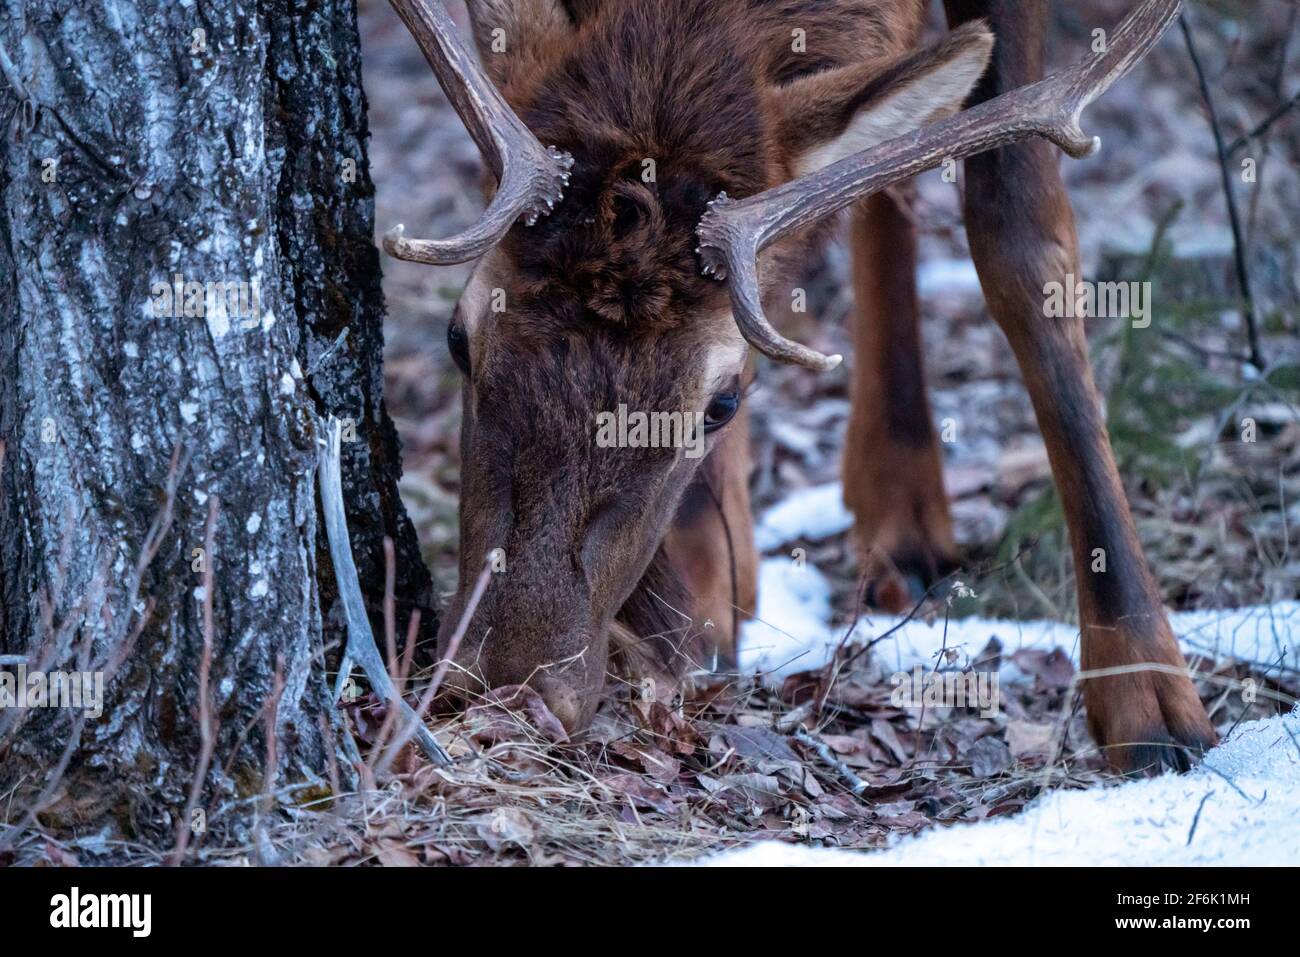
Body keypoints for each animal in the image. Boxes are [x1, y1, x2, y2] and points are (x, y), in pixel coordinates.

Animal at [381, 0, 1217, 774]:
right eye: (458, 339)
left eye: (720, 403)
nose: (508, 688)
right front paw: (690, 607)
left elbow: (1020, 239)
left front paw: (1148, 689)